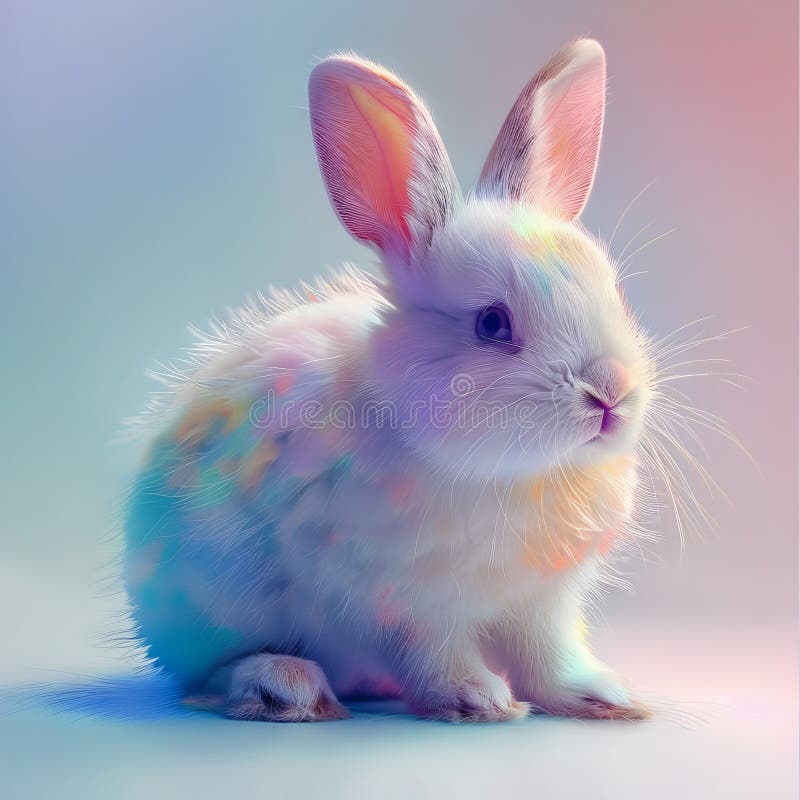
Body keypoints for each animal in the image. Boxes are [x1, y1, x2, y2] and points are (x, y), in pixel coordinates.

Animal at [124, 38, 655, 723]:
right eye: (492, 323)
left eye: (612, 291)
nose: (610, 393)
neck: (517, 472)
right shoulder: (407, 603)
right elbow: (437, 652)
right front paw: (477, 698)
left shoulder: (543, 603)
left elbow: (549, 656)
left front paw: (600, 696)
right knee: (211, 673)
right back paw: (285, 687)